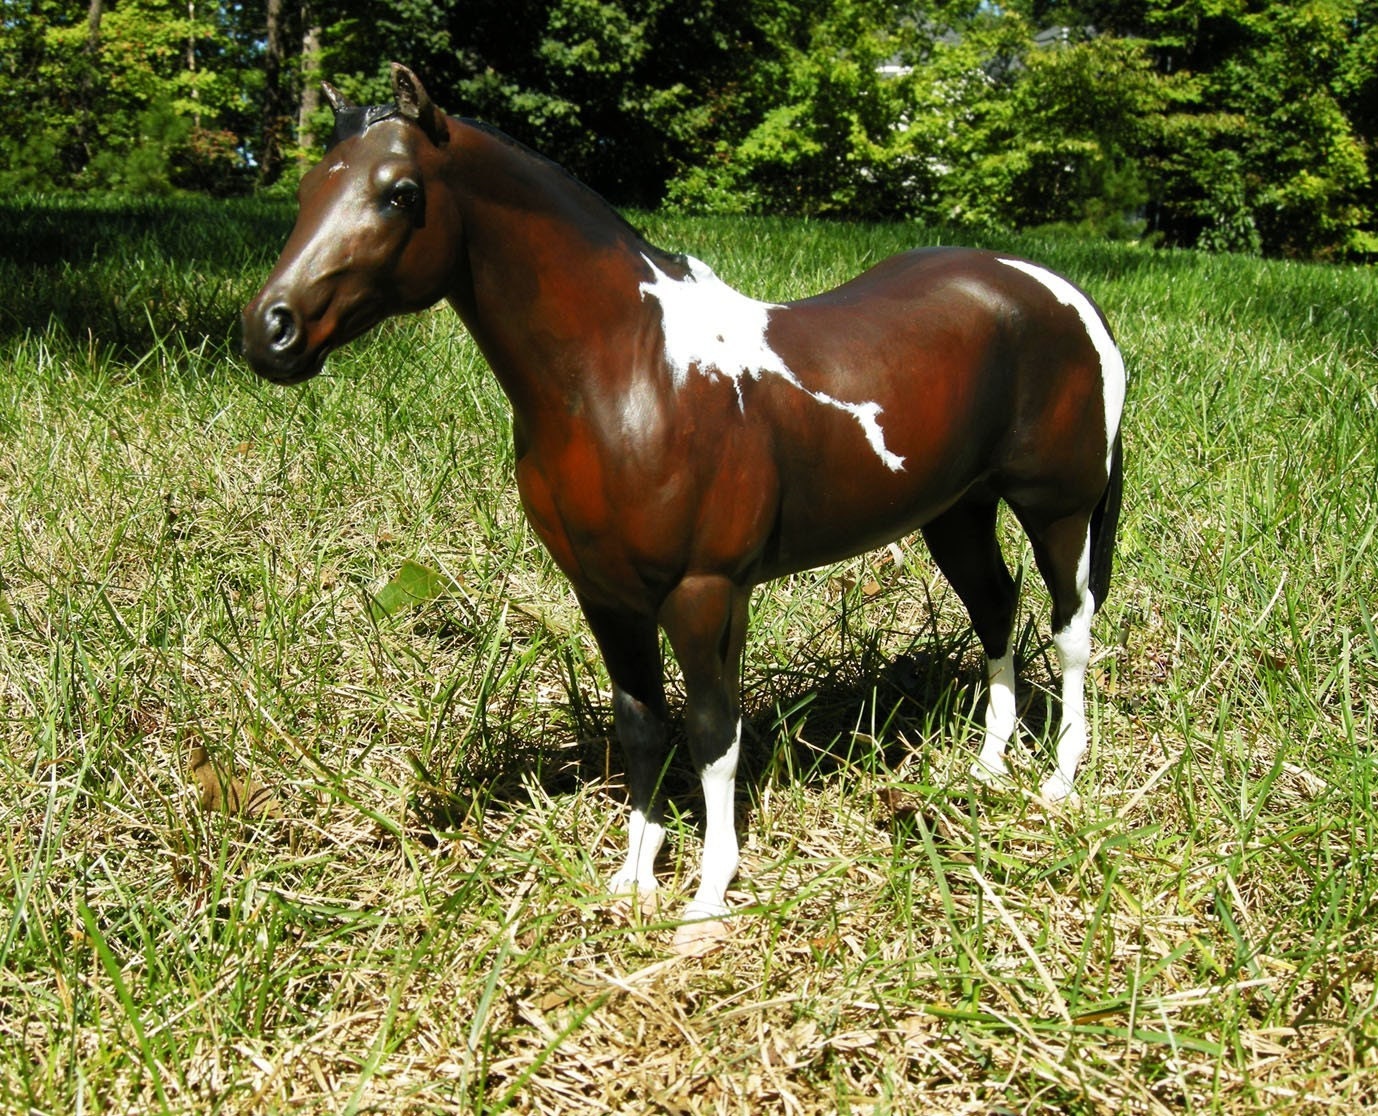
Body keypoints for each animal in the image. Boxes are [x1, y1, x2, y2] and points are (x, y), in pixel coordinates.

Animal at [242, 64, 1125, 950]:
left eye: (400, 193)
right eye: (309, 189)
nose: (269, 331)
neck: (632, 375)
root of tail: (1063, 294)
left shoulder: (703, 593)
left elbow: (711, 733)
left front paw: (708, 894)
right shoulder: (605, 595)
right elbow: (640, 724)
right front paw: (635, 877)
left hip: (1056, 509)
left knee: (1070, 625)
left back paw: (1058, 779)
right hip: (957, 512)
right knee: (996, 610)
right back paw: (987, 766)